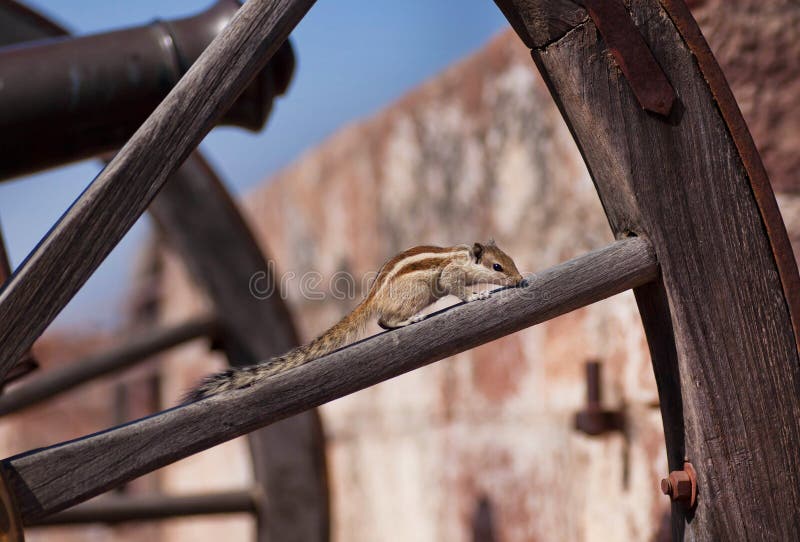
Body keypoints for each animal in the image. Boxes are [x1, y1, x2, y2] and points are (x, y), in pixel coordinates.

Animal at [184, 240, 524, 402]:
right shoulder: (449, 275)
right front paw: (477, 296)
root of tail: (372, 298)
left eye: (511, 260)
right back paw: (409, 320)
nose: (520, 280)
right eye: (497, 266)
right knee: (385, 321)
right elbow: (457, 288)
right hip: (413, 295)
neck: (463, 257)